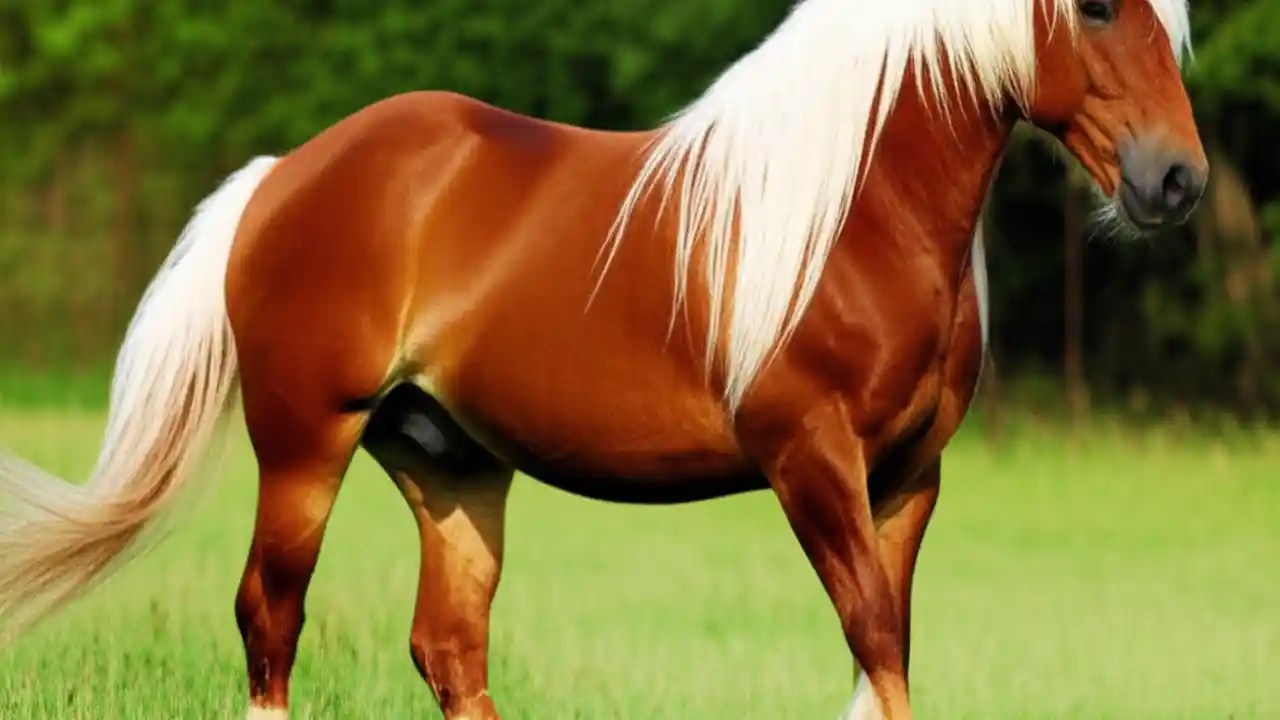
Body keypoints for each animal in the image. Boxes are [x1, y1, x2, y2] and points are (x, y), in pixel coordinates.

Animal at [0, 0, 1204, 718]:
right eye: (1095, 6)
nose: (1175, 181)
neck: (853, 213)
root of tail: (284, 173)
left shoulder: (910, 476)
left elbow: (885, 647)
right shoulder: (809, 459)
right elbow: (872, 635)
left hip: (449, 462)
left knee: (449, 645)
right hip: (305, 444)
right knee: (272, 618)